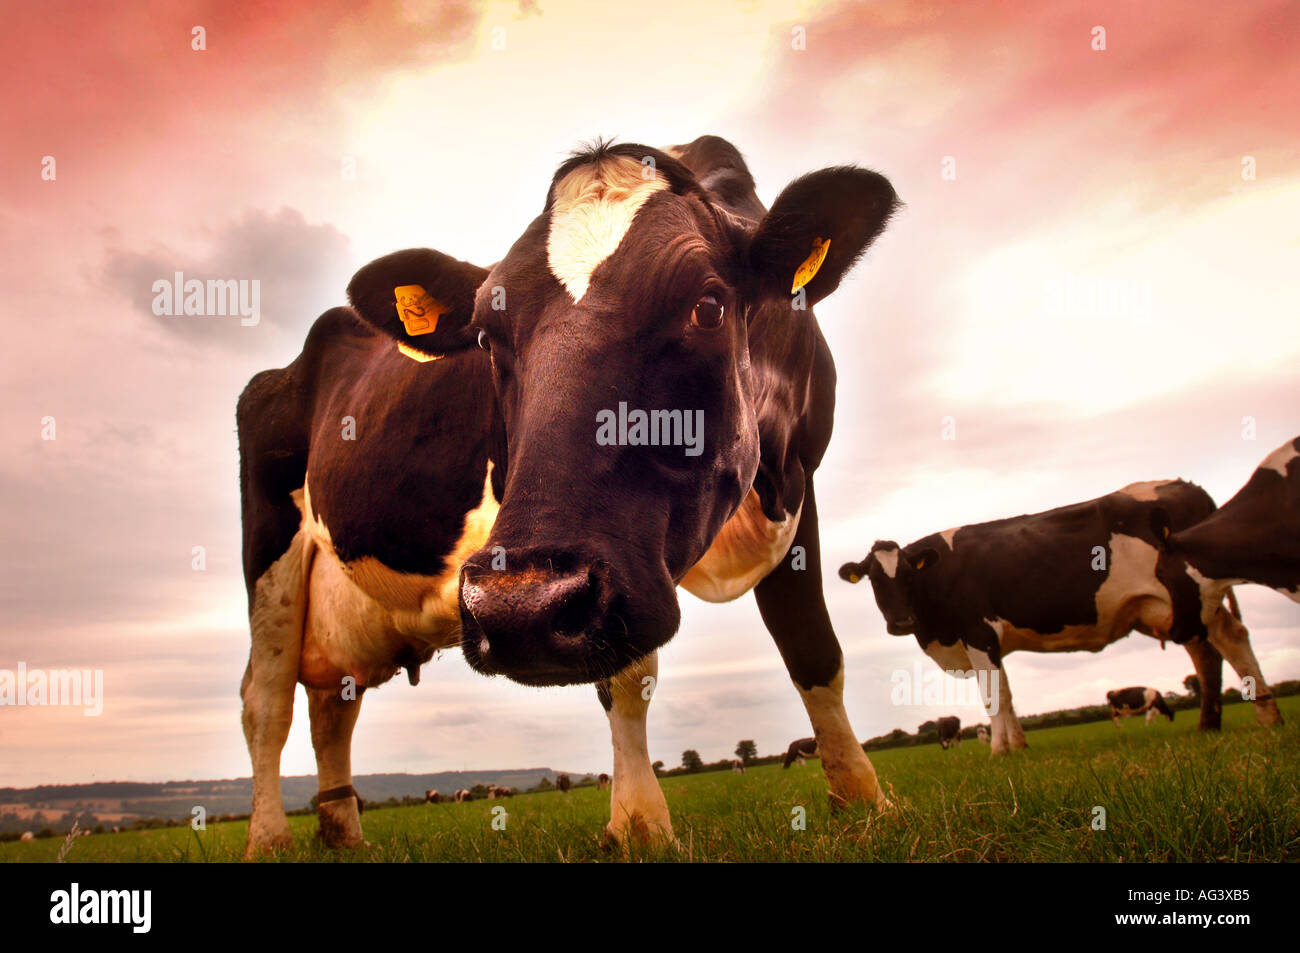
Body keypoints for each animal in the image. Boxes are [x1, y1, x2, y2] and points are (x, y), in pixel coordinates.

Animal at [236, 135, 899, 856]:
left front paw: (864, 798)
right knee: (266, 704)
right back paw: (267, 839)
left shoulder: (797, 481)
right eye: (486, 336)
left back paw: (344, 835)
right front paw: (639, 823)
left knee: (333, 705)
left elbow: (814, 649)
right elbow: (626, 676)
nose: (517, 610)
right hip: (269, 559)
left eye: (708, 306)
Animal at [838, 479, 1280, 754]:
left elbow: (993, 696)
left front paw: (999, 751)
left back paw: (1265, 716)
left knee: (1230, 639)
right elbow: (1007, 693)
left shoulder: (977, 633)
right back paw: (1213, 724)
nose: (901, 623)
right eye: (873, 578)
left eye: (909, 574)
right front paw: (1018, 746)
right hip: (1173, 606)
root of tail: (1186, 485)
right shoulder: (988, 642)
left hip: (1196, 592)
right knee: (1207, 652)